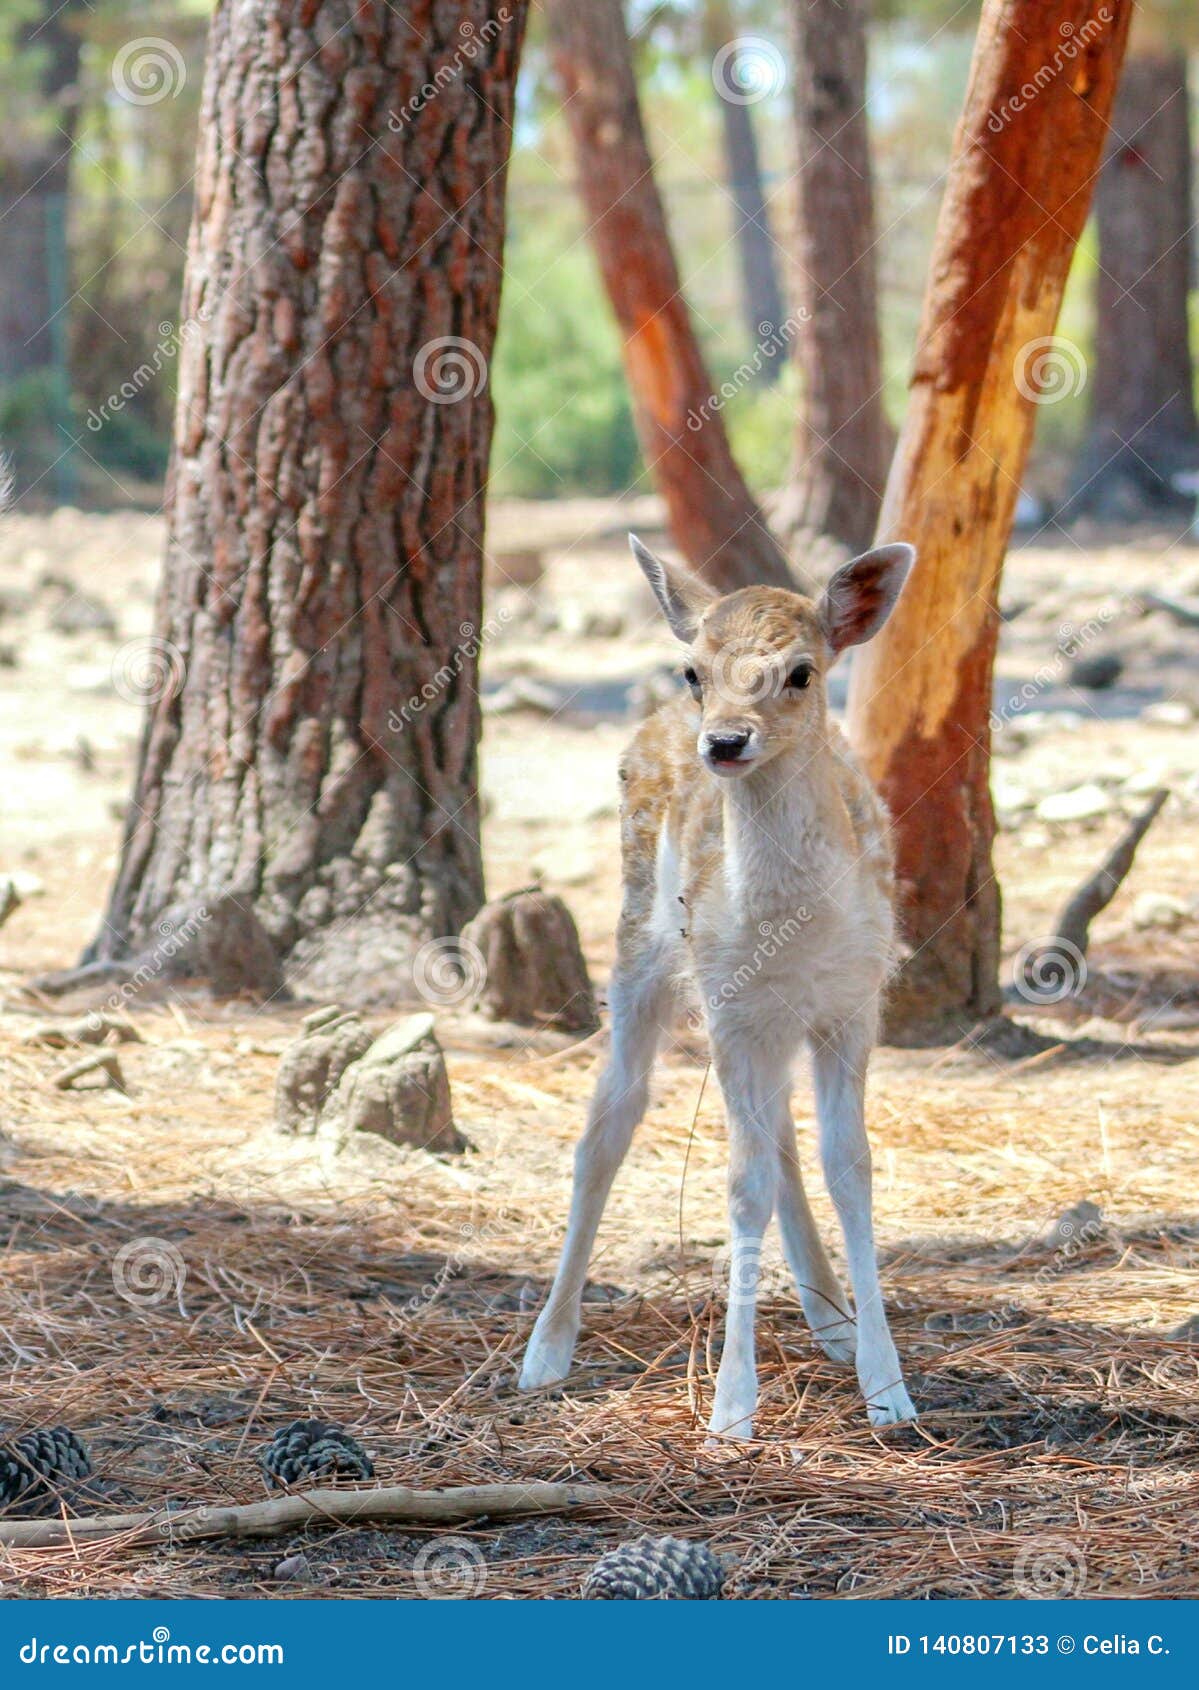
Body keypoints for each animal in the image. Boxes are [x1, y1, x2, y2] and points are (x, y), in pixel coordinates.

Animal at [519, 535, 919, 1439]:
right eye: (694, 669)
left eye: (801, 671)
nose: (726, 741)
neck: (792, 932)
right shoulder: (733, 1010)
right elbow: (740, 1186)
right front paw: (733, 1410)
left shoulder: (852, 1005)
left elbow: (850, 1166)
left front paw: (887, 1388)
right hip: (642, 947)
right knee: (607, 1125)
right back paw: (544, 1351)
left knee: (778, 1138)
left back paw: (831, 1319)